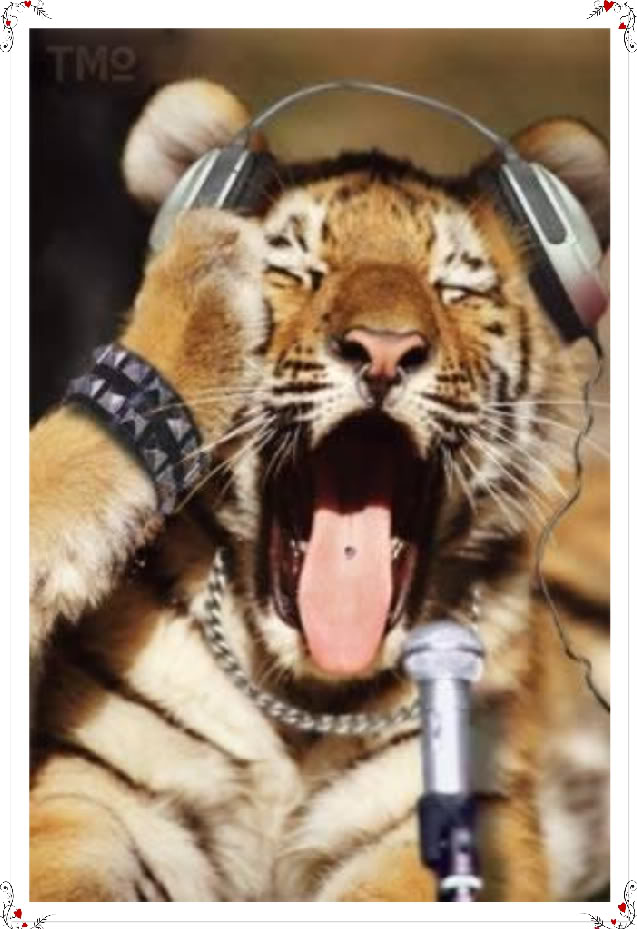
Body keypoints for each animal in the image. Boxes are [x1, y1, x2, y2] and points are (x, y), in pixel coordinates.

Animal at [29, 79, 610, 902]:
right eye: (297, 271)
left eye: (453, 289)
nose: (385, 350)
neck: (302, 701)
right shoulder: (91, 790)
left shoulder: (434, 823)